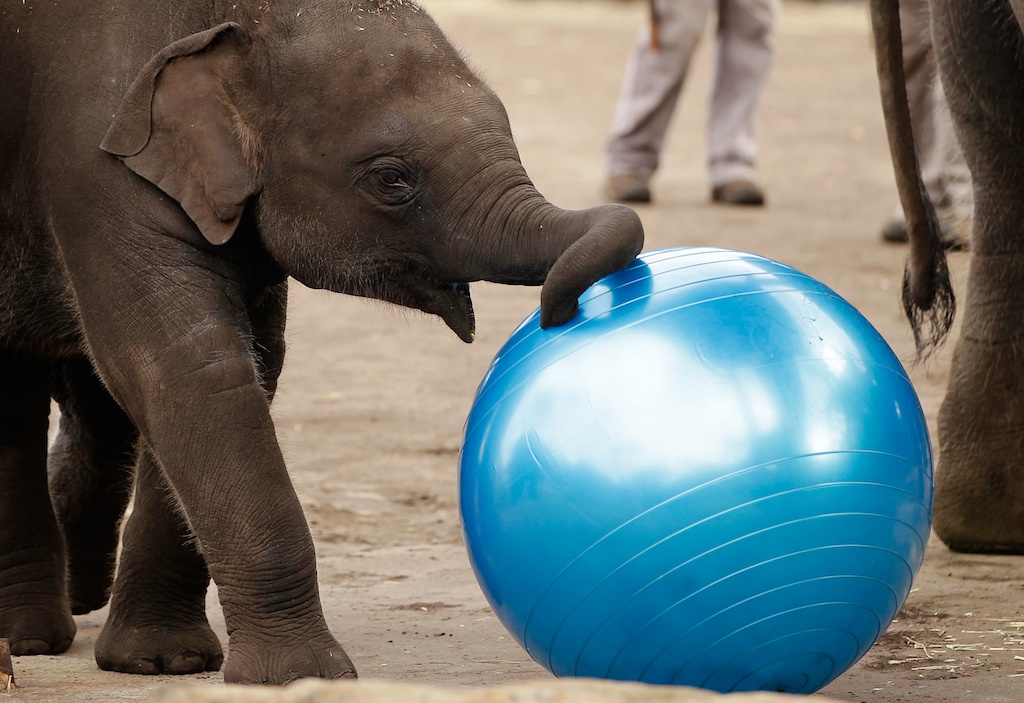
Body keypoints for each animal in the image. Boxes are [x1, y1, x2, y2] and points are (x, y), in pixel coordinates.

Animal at [0, 0, 644, 685]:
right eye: (391, 179)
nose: (558, 311)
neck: (237, 21)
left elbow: (247, 361)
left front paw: (164, 662)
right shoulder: (95, 160)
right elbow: (183, 364)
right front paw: (297, 676)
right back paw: (28, 637)